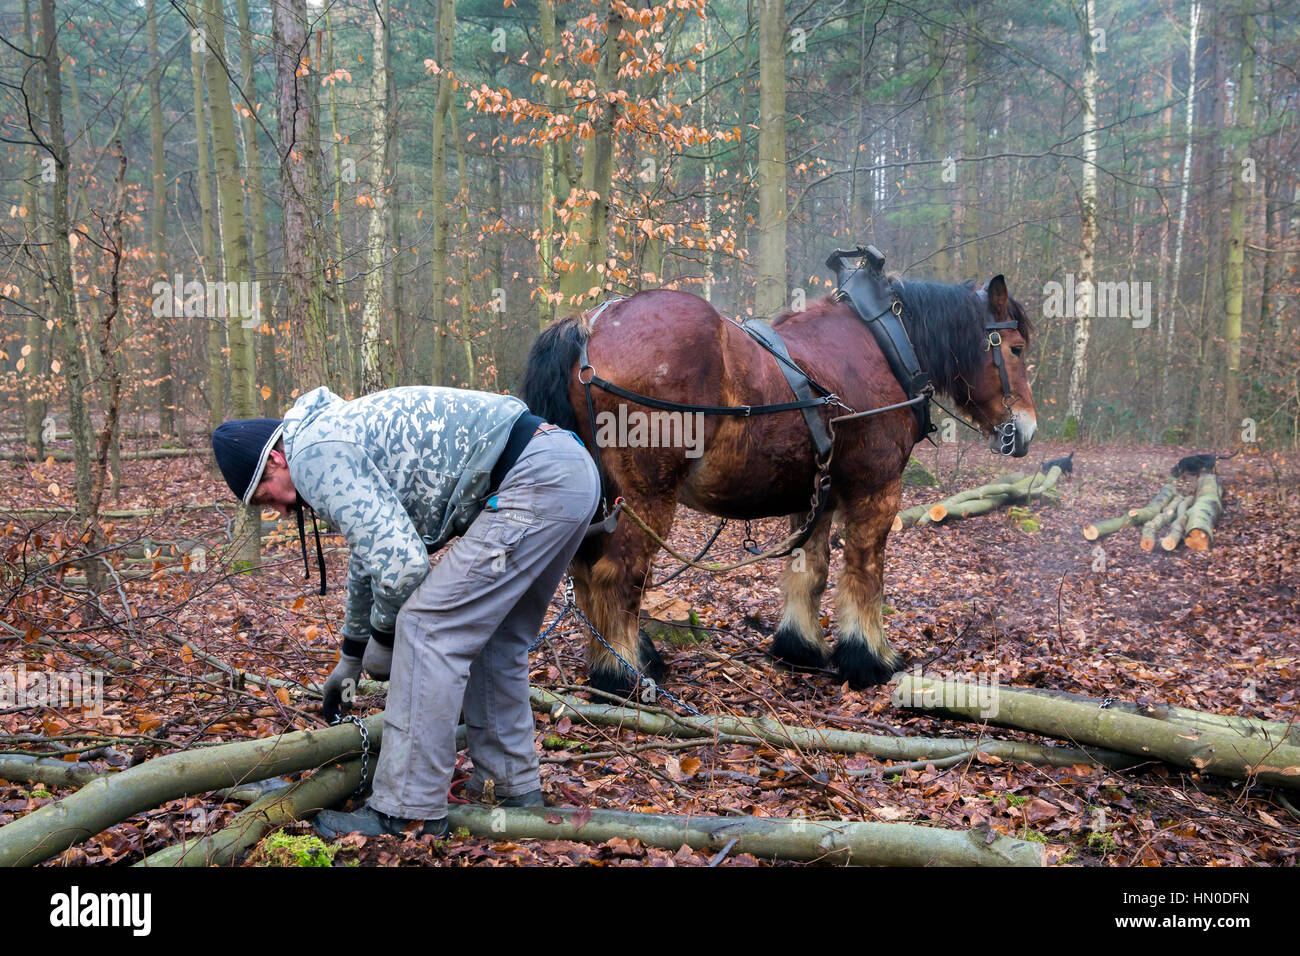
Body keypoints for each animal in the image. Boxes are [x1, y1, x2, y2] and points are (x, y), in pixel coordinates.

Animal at [521, 274, 1036, 696]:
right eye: (1015, 349)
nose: (1026, 431)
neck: (885, 347)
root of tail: (588, 331)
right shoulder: (876, 489)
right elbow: (865, 575)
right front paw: (870, 658)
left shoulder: (817, 497)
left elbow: (811, 571)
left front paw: (801, 646)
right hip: (645, 497)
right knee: (617, 574)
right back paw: (621, 673)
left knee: (585, 570)